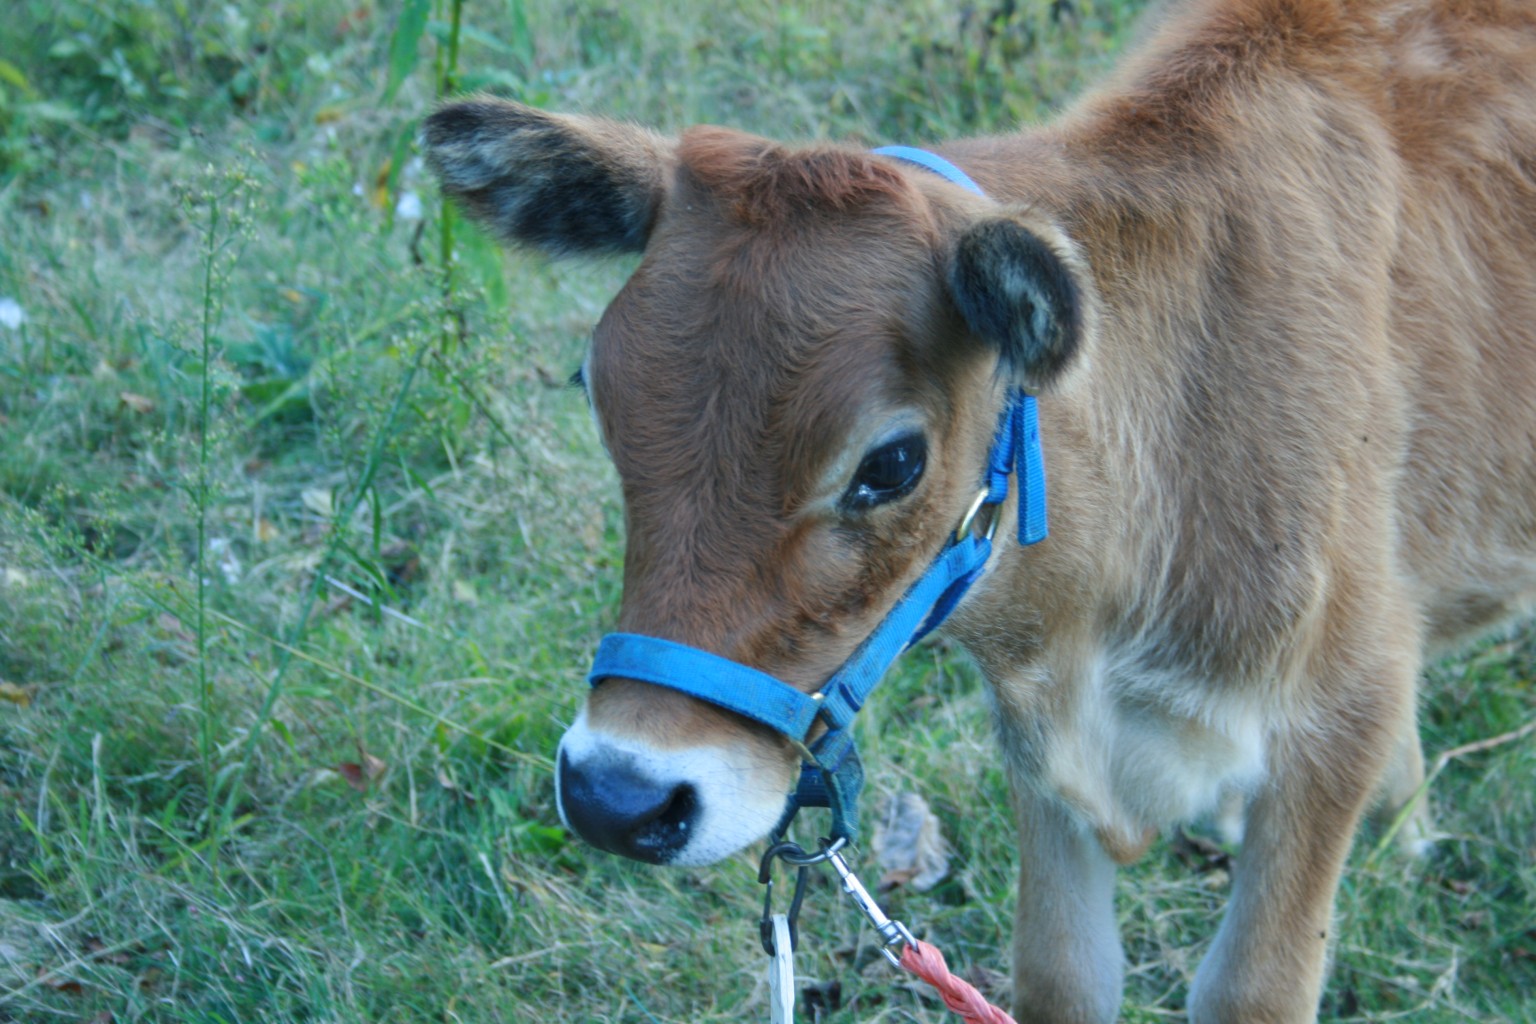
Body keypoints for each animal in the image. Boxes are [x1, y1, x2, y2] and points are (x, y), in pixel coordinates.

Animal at [422, 0, 1536, 1019]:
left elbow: (1252, 988)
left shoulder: (1334, 718)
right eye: (596, 390)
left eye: (891, 461)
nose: (619, 794)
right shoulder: (1041, 743)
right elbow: (1063, 973)